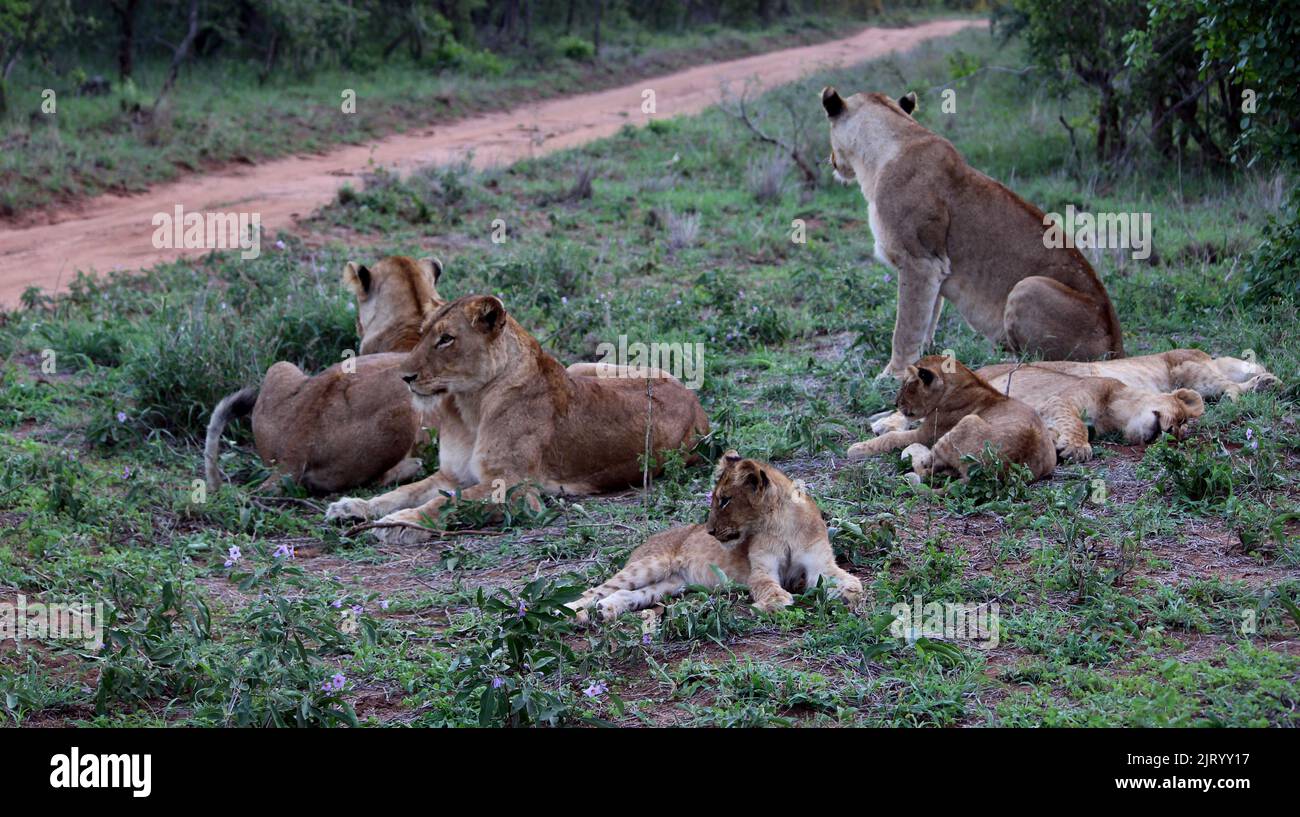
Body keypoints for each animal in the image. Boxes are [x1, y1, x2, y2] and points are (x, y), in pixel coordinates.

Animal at [324, 294, 710, 544]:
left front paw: (395, 524)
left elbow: (445, 502)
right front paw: (353, 506)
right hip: (579, 367)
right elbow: (403, 492)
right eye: (422, 334)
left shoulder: (515, 489)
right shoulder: (451, 474)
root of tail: (695, 401)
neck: (468, 406)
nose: (404, 377)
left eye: (446, 339)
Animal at [567, 452, 861, 621]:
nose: (708, 530)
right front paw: (776, 602)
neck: (783, 524)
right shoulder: (761, 569)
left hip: (670, 585)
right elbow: (767, 586)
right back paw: (572, 611)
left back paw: (606, 610)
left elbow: (848, 580)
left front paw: (848, 594)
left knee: (628, 594)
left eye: (724, 500)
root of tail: (645, 542)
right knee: (596, 589)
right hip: (651, 564)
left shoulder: (820, 563)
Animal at [821, 86, 1124, 380]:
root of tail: (1117, 349)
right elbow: (927, 320)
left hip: (1028, 287)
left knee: (1044, 360)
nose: (831, 159)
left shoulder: (919, 261)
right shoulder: (934, 268)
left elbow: (905, 328)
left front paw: (892, 374)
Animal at [847, 354, 1057, 482]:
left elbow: (890, 438)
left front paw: (857, 448)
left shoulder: (925, 434)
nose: (895, 402)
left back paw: (912, 454)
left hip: (966, 422)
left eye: (907, 386)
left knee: (926, 468)